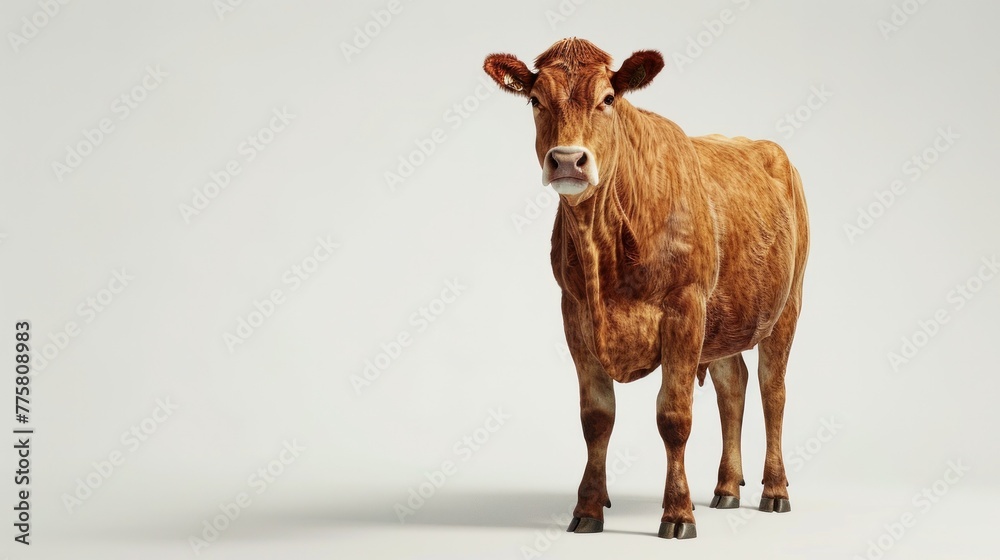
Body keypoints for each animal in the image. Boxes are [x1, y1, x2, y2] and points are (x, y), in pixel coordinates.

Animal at [483, 38, 809, 539]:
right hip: (725, 316)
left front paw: (677, 513)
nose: (567, 159)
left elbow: (673, 416)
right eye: (536, 101)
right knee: (732, 386)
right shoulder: (574, 315)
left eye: (607, 99)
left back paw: (774, 490)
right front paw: (588, 509)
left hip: (786, 305)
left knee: (773, 389)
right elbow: (596, 418)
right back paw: (727, 488)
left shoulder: (685, 308)